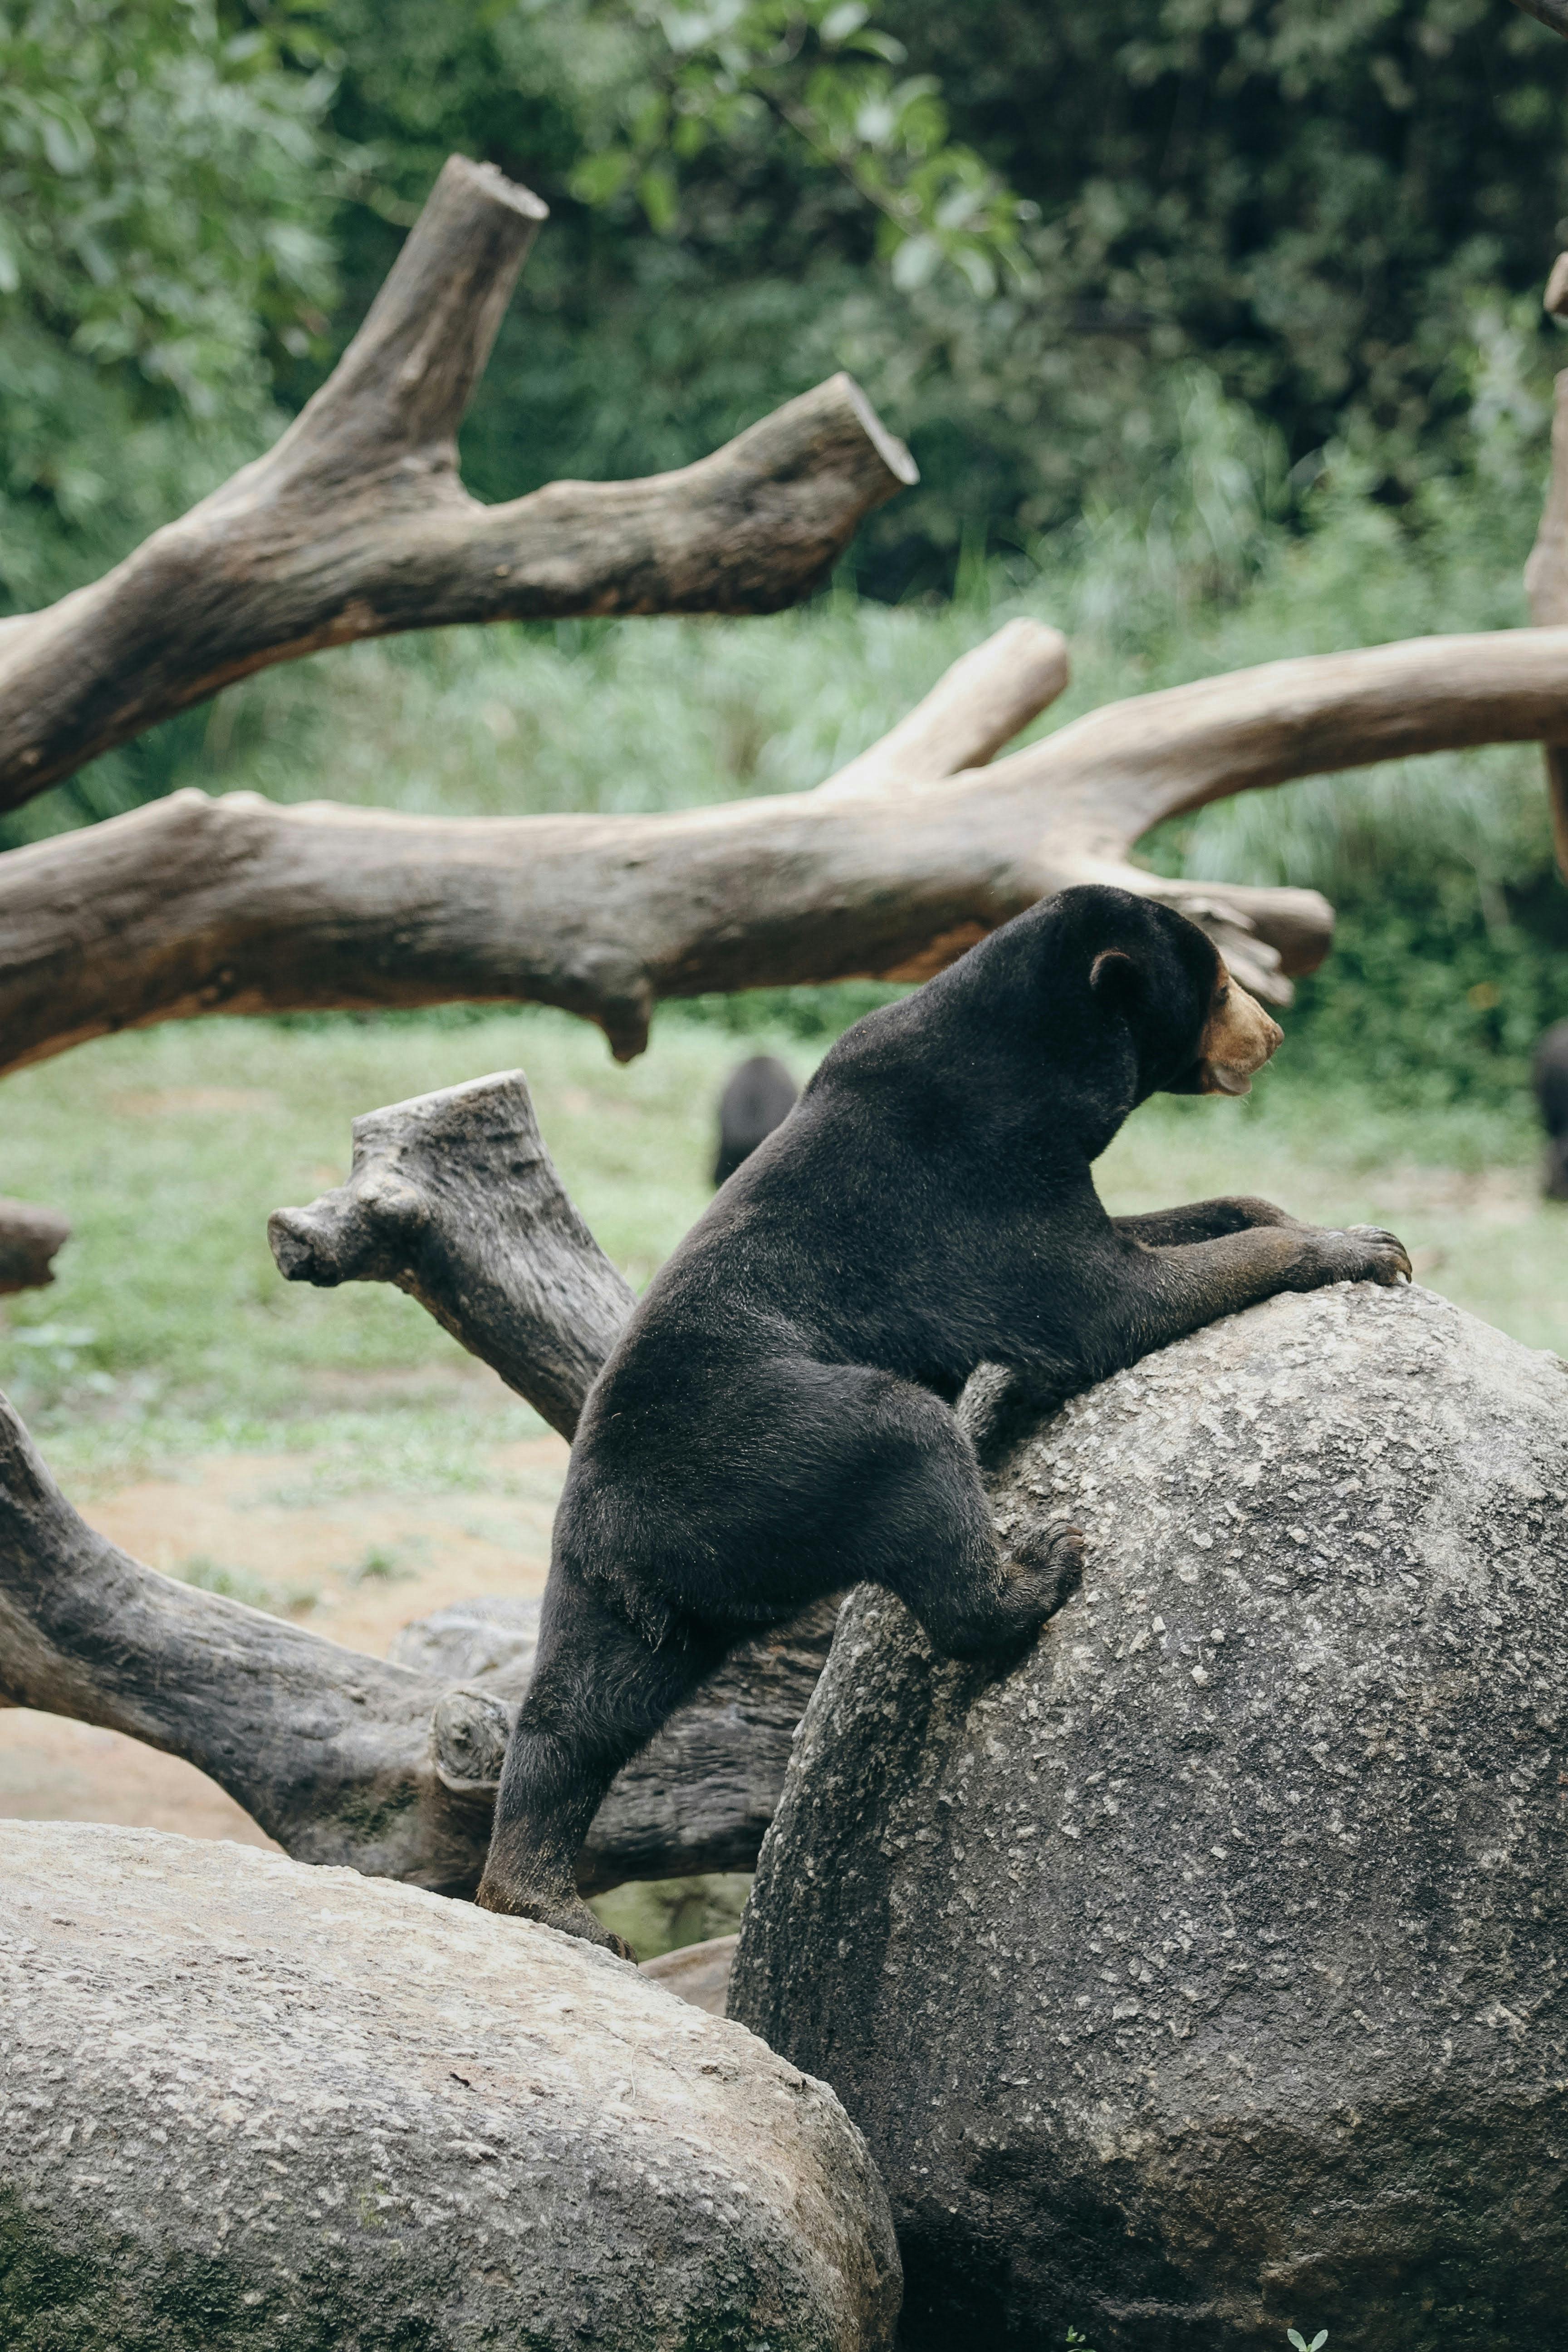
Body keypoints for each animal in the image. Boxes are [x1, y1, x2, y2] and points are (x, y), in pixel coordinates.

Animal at [476, 883, 1411, 1950]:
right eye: (1218, 987)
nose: (1272, 1033)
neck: (1033, 1058)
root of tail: (633, 1534)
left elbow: (1157, 1233)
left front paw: (1287, 1213)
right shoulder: (973, 1182)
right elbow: (1103, 1302)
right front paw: (1364, 1246)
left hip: (627, 1594)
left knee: (579, 1713)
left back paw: (540, 1897)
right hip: (775, 1440)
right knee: (911, 1447)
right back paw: (1040, 1566)